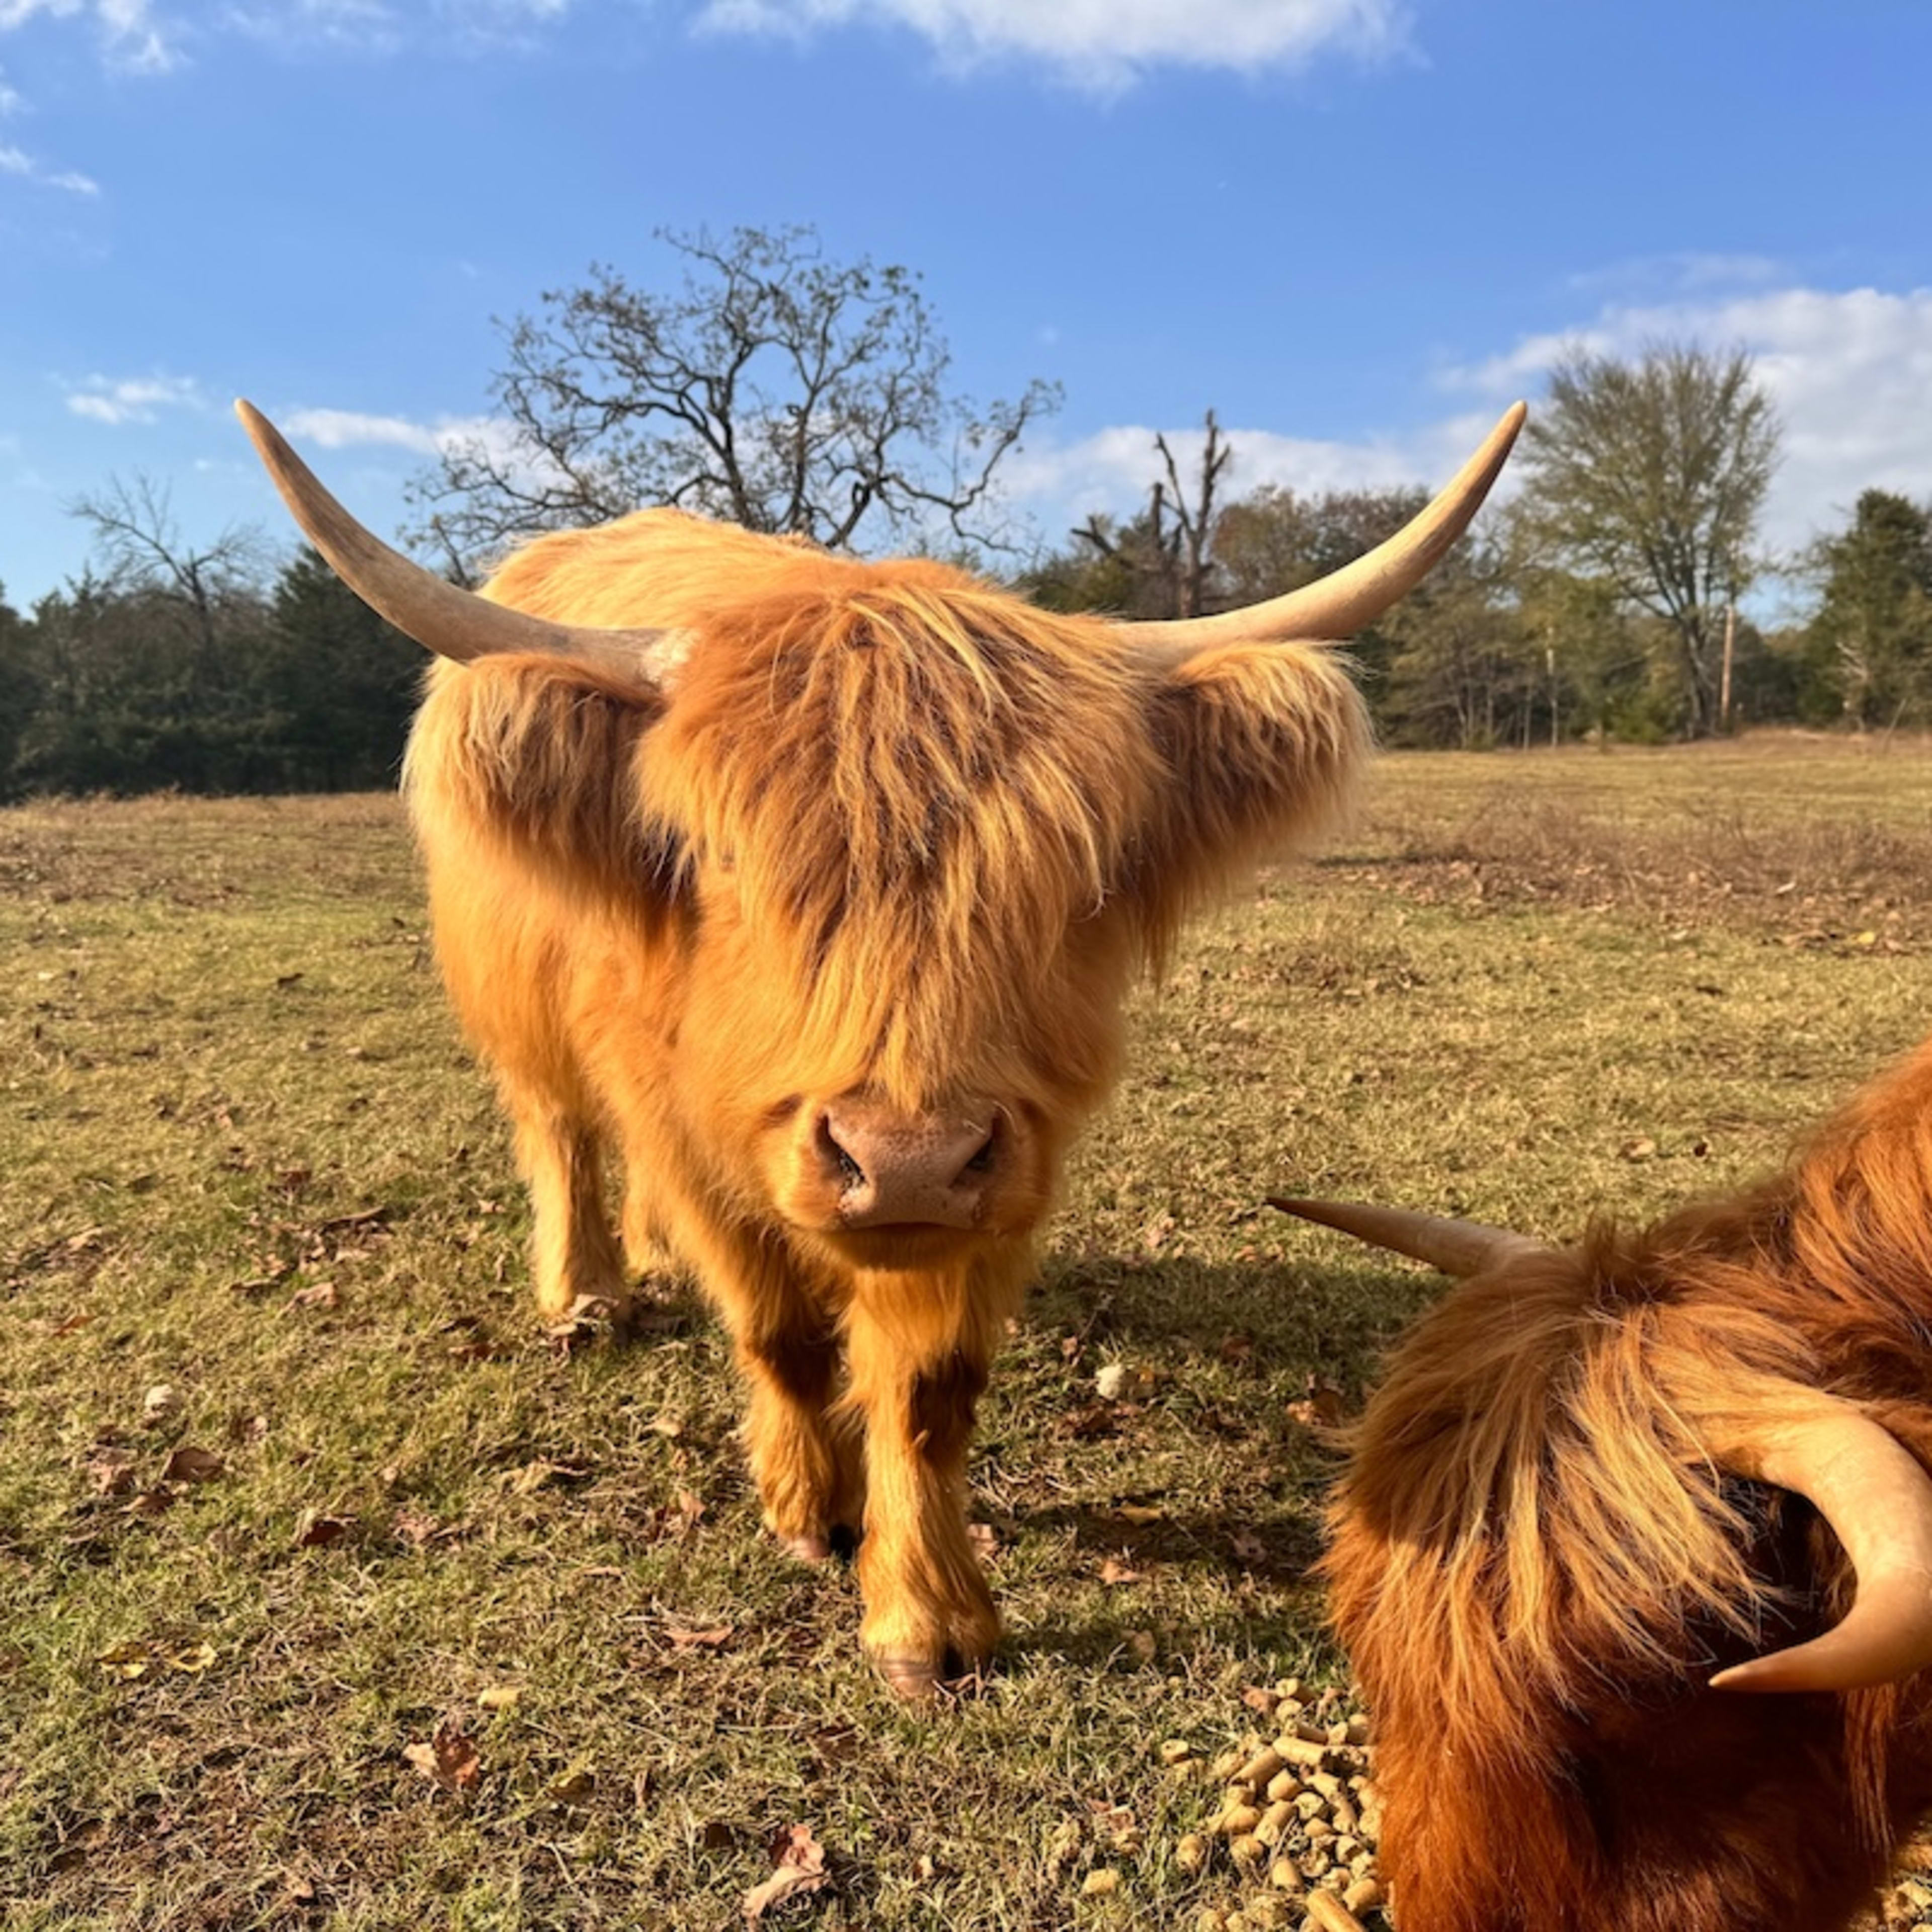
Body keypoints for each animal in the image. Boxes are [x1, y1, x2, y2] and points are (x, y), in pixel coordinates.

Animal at [237, 397, 1522, 1694]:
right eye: (722, 856)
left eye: (1077, 877)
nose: (901, 1161)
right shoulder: (694, 1129)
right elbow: (782, 1332)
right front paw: (810, 1507)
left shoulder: (1005, 1169)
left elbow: (926, 1391)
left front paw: (926, 1616)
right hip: (520, 1009)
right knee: (556, 1126)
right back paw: (591, 1288)